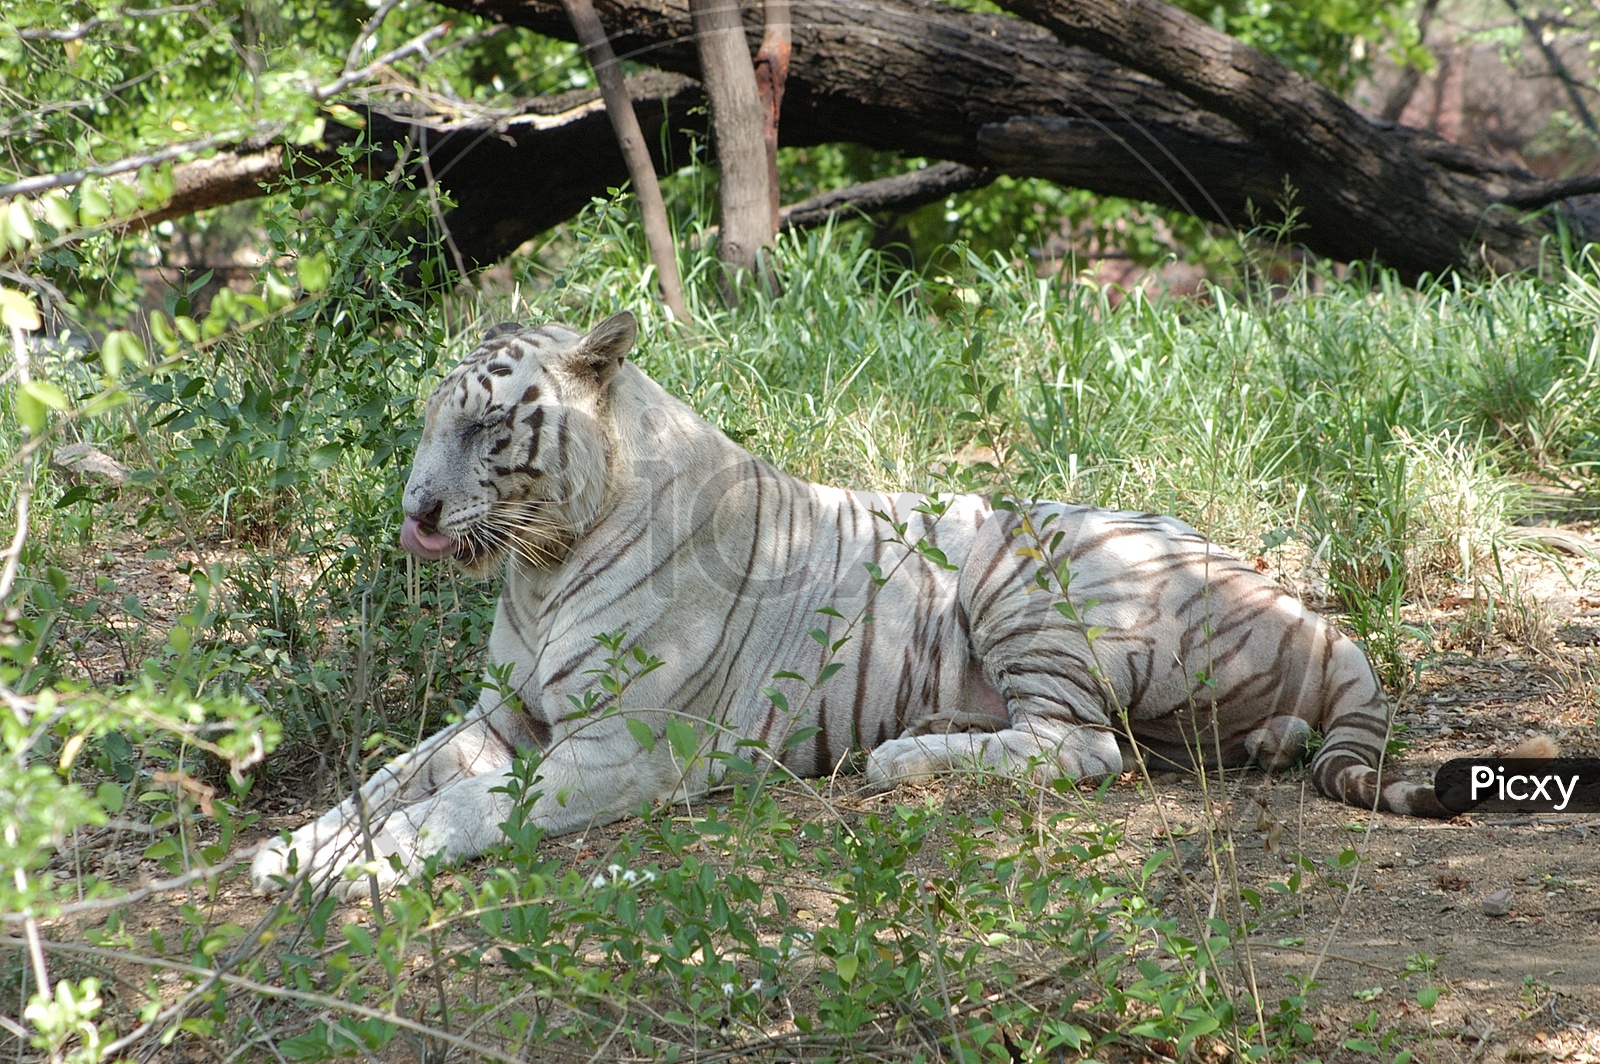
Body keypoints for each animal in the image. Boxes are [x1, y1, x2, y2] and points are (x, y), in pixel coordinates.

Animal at [250, 311, 1449, 898]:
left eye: (489, 425)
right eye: (428, 420)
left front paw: (356, 872)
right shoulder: (503, 713)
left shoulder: (619, 744)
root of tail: (1312, 613)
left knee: (1085, 747)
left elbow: (453, 808)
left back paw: (902, 757)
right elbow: (385, 781)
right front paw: (288, 852)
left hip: (1023, 556)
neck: (540, 566)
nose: (414, 511)